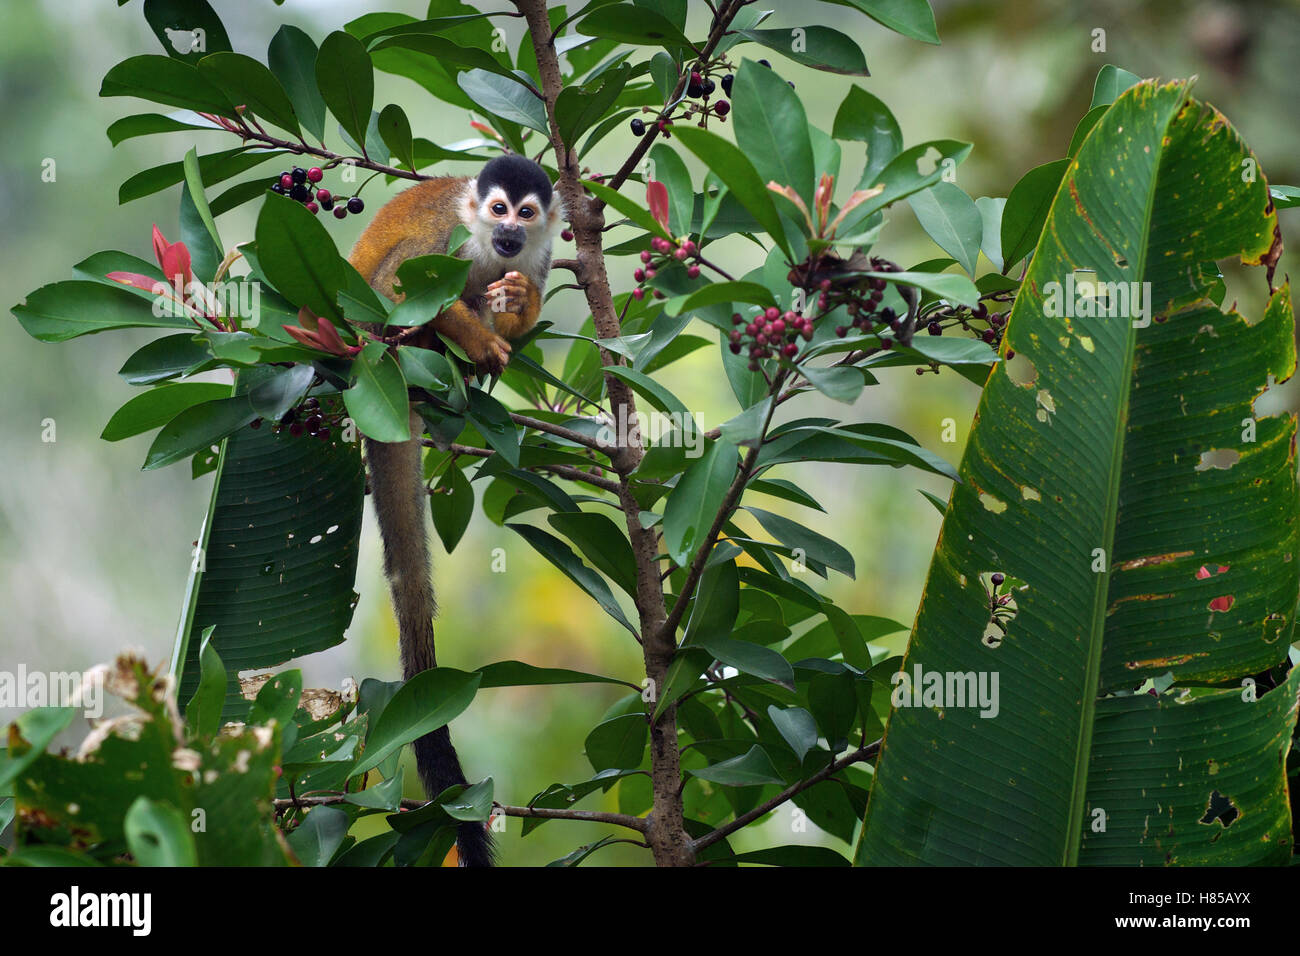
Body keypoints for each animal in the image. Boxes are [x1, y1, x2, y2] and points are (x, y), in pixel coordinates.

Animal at [348, 154, 562, 867]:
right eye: (496, 209)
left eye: (526, 213)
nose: (508, 234)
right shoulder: (448, 243)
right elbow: (395, 285)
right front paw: (474, 334)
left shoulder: (543, 252)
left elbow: (523, 299)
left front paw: (515, 308)